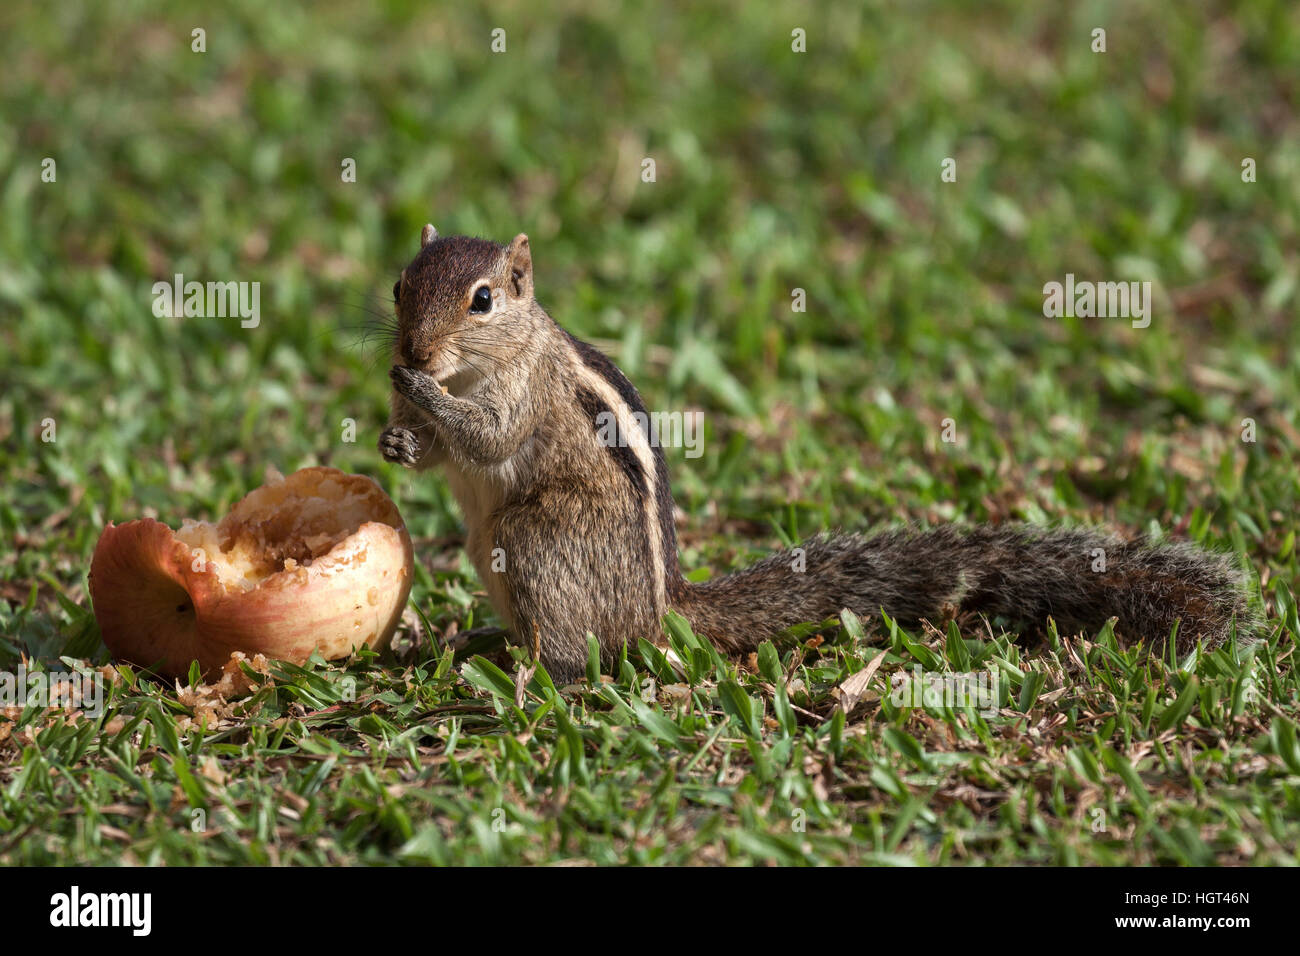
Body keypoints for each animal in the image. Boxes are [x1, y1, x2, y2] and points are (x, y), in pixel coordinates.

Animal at [379, 226, 1258, 683]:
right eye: (398, 285)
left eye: (482, 300)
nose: (411, 351)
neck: (480, 362)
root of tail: (662, 610)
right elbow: (435, 457)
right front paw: (396, 433)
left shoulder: (524, 395)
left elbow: (491, 437)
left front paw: (419, 396)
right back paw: (481, 642)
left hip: (533, 540)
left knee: (579, 652)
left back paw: (526, 672)